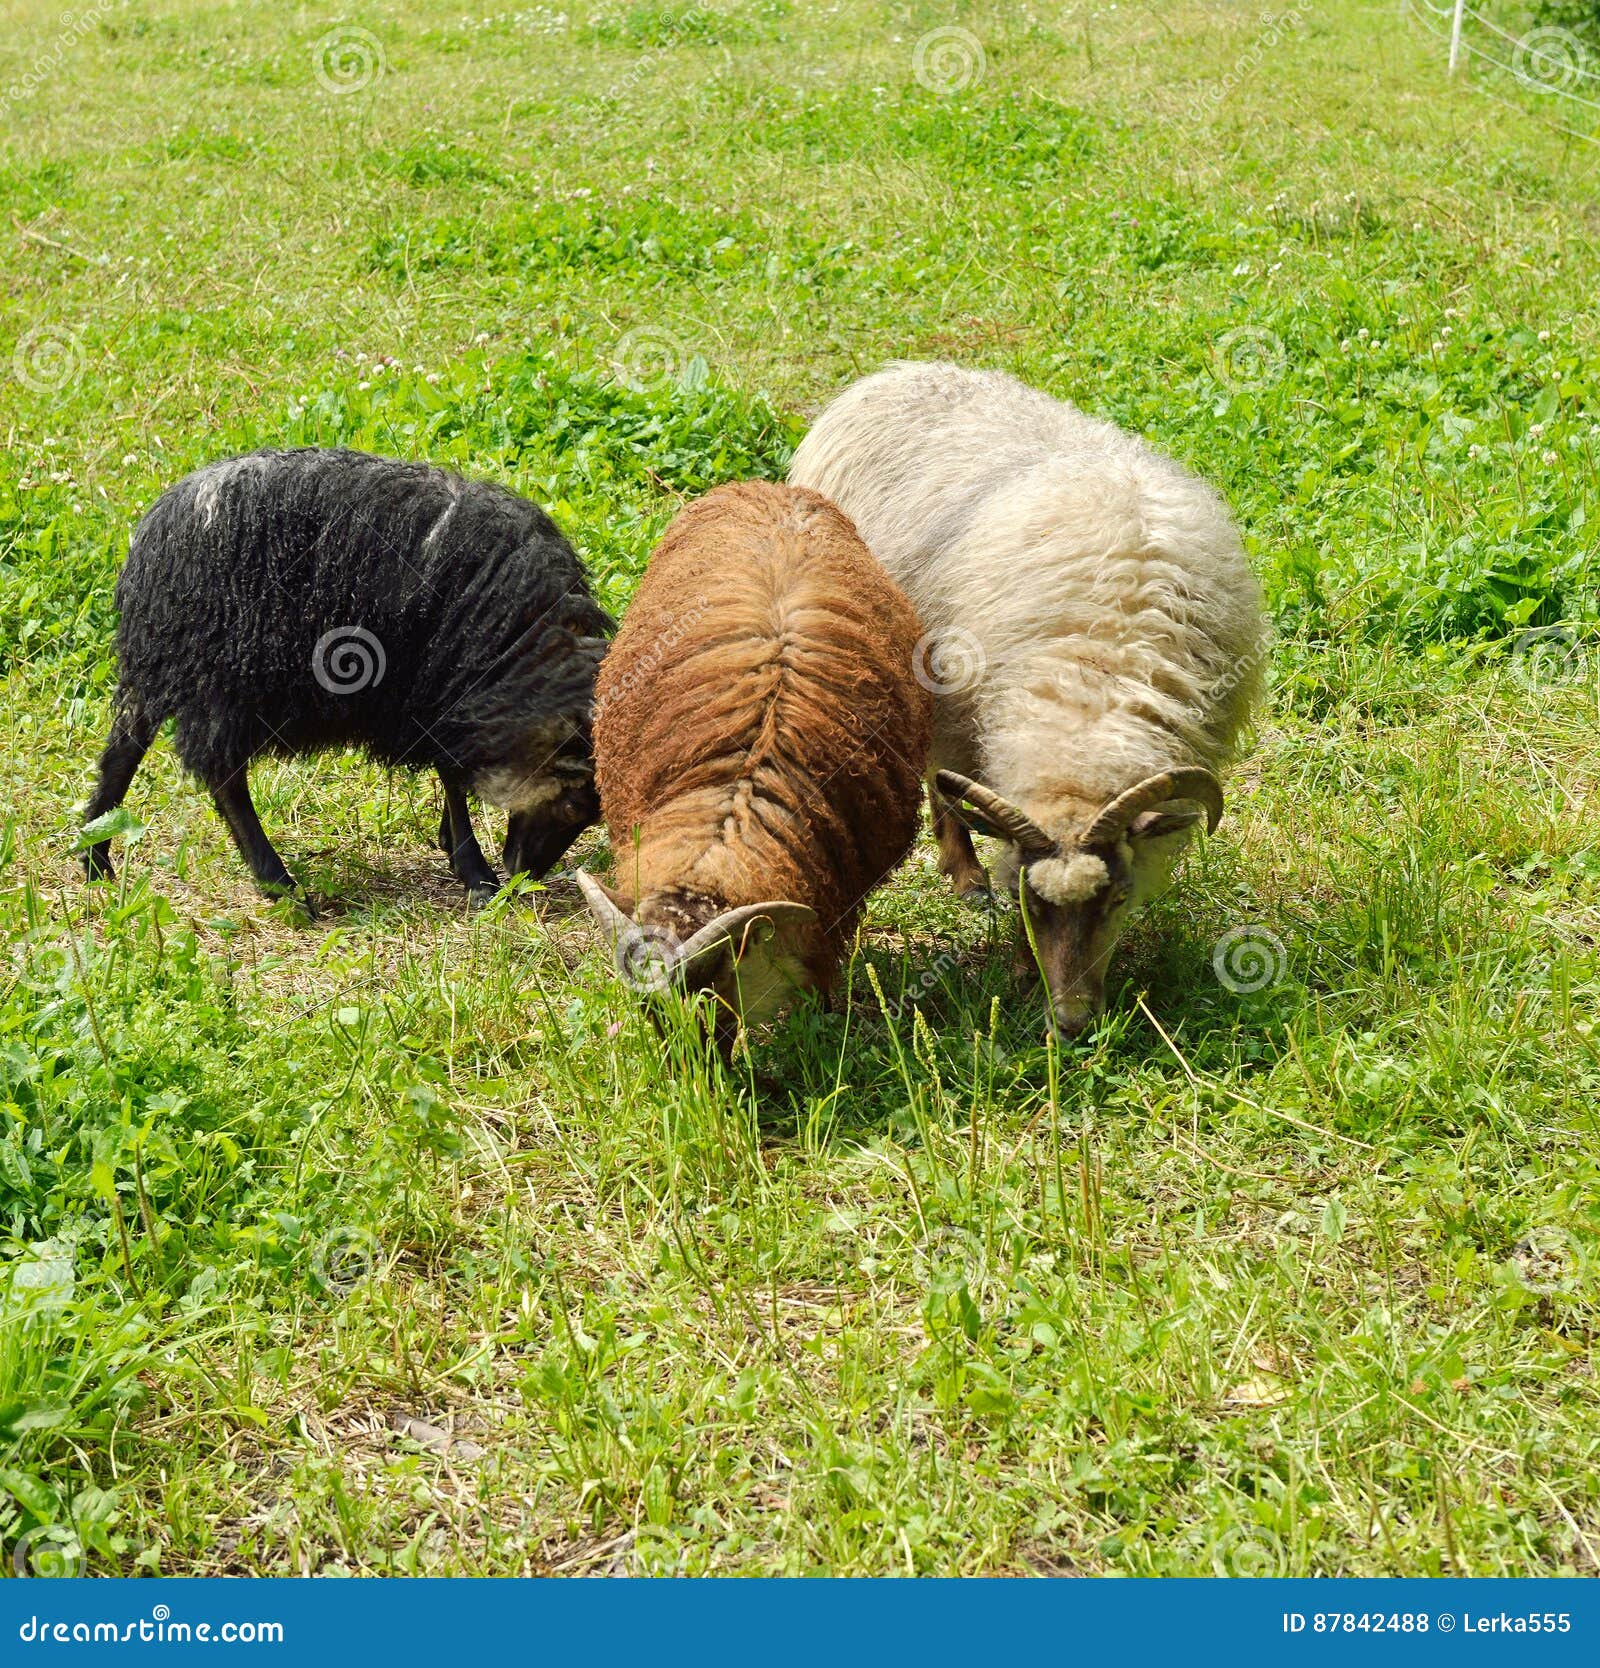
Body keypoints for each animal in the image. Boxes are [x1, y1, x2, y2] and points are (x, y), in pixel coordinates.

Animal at [81, 447, 612, 908]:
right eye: (574, 806)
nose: (527, 872)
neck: (524, 643)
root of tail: (157, 532)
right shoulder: (434, 688)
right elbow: (453, 774)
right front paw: (475, 874)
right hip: (225, 680)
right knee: (224, 778)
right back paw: (279, 883)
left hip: (163, 663)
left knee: (124, 745)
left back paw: (94, 854)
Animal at [788, 361, 1265, 1037]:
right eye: (1030, 903)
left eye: (1119, 898)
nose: (1071, 1023)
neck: (1091, 706)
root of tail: (898, 371)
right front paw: (1017, 962)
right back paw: (963, 874)